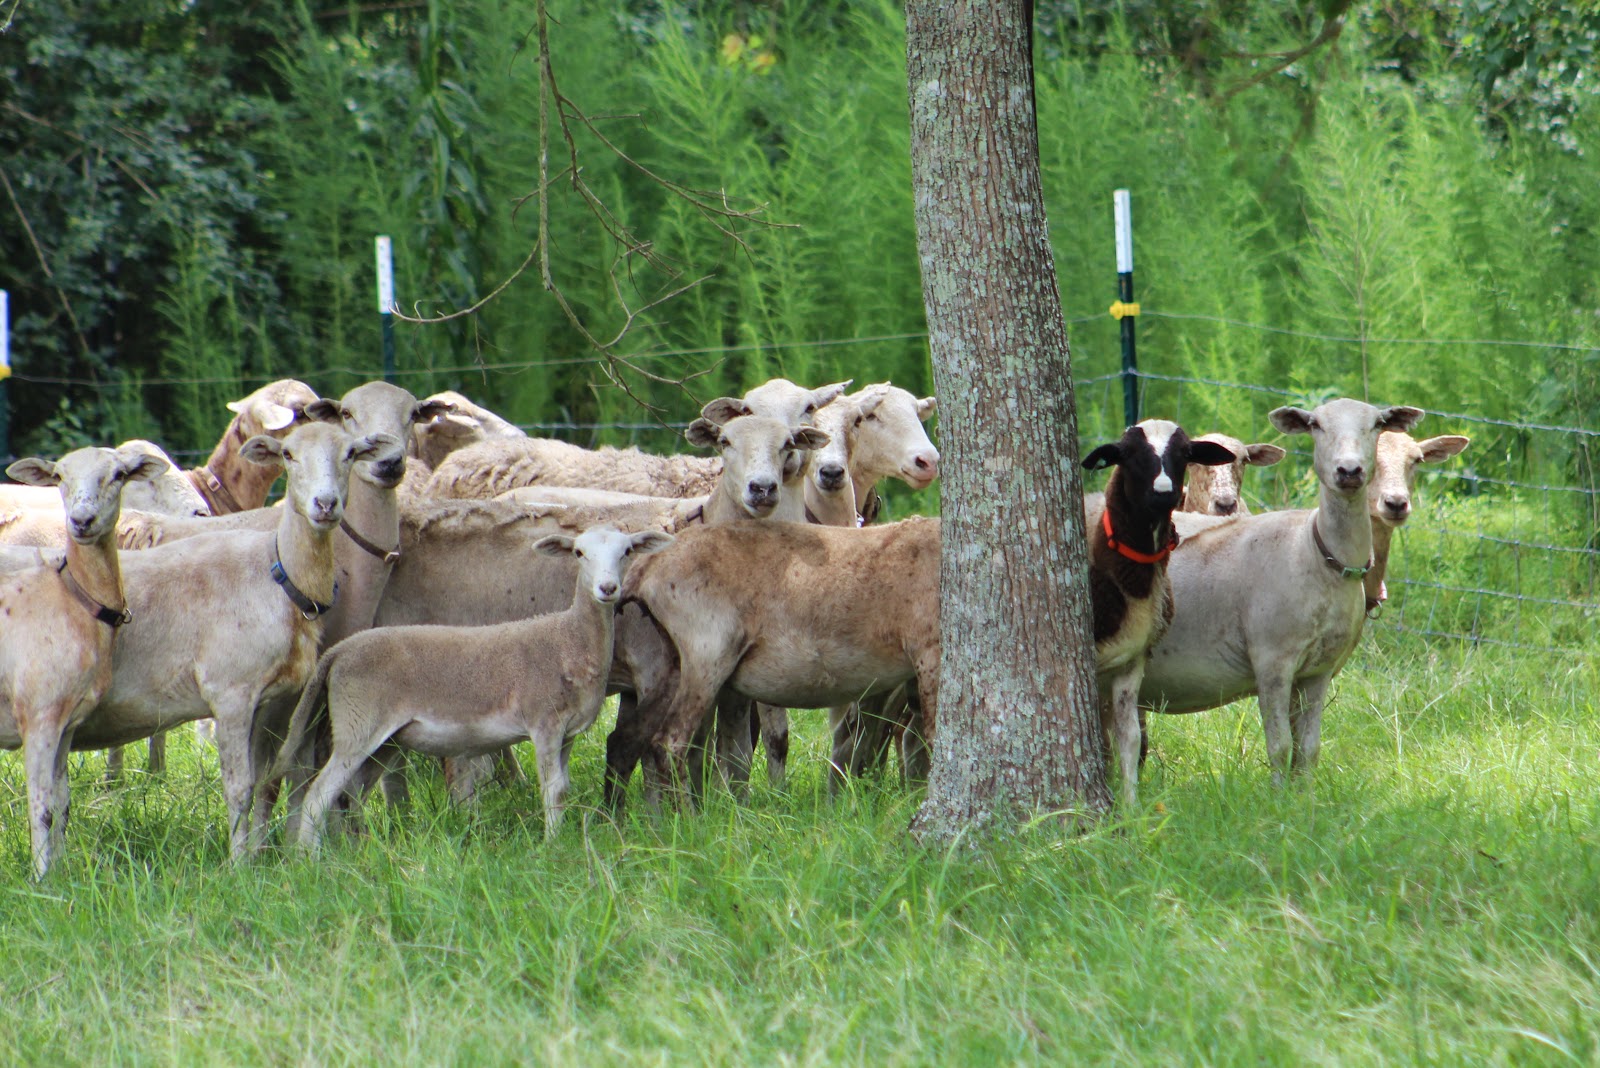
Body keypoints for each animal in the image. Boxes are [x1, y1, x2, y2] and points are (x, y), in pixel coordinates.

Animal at [0, 445, 168, 876]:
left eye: (119, 475)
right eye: (59, 477)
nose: (81, 521)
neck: (75, 598)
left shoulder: (67, 722)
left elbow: (62, 805)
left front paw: (61, 873)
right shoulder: (39, 716)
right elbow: (41, 808)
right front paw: (41, 879)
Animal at [67, 421, 392, 858]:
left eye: (352, 453)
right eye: (288, 454)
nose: (325, 504)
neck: (278, 573)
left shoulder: (270, 701)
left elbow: (272, 777)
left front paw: (269, 854)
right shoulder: (230, 695)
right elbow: (241, 787)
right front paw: (241, 863)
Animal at [270, 526, 674, 849]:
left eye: (627, 551)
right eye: (579, 553)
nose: (608, 589)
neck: (568, 639)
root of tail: (338, 652)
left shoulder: (568, 733)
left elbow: (564, 788)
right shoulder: (543, 722)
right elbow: (552, 788)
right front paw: (553, 845)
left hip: (385, 741)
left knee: (351, 795)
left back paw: (355, 852)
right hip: (358, 723)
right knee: (318, 796)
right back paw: (309, 860)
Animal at [1137, 398, 1425, 782]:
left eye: (1377, 424)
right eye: (1316, 425)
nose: (1349, 471)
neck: (1315, 552)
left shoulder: (1317, 670)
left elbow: (1308, 750)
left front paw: (1304, 795)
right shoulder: (1272, 661)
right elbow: (1280, 748)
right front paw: (1277, 797)